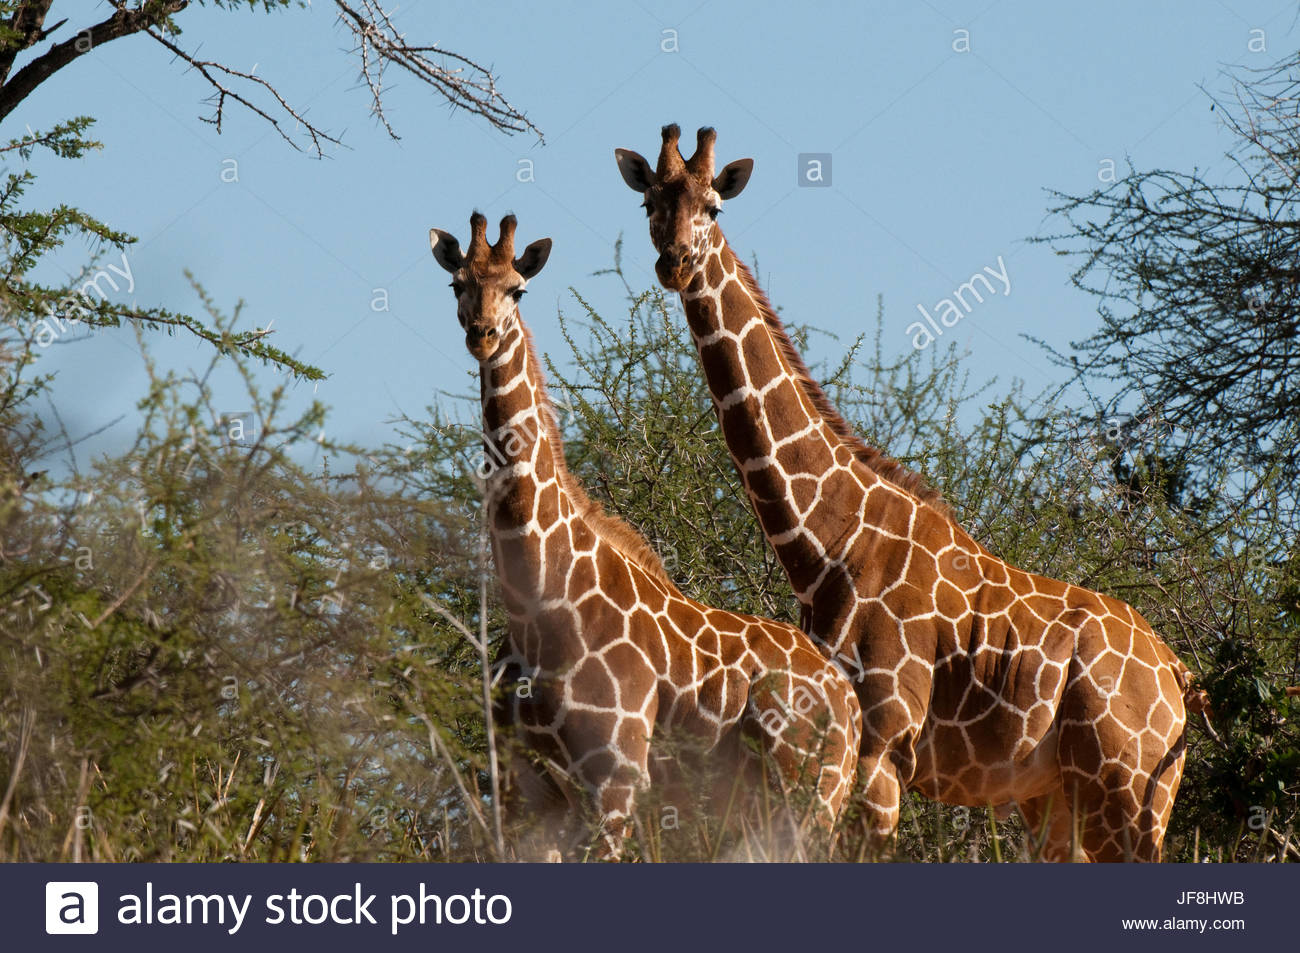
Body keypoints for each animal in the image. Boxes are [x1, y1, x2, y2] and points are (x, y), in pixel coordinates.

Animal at [429, 211, 861, 860]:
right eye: (458, 284)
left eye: (518, 289)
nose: (482, 334)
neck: (539, 602)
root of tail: (850, 704)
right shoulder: (524, 795)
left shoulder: (615, 780)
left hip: (812, 802)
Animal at [614, 126, 1209, 861]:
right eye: (650, 205)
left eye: (714, 206)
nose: (675, 262)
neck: (826, 538)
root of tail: (1177, 675)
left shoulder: (881, 743)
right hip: (1056, 798)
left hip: (1130, 793)